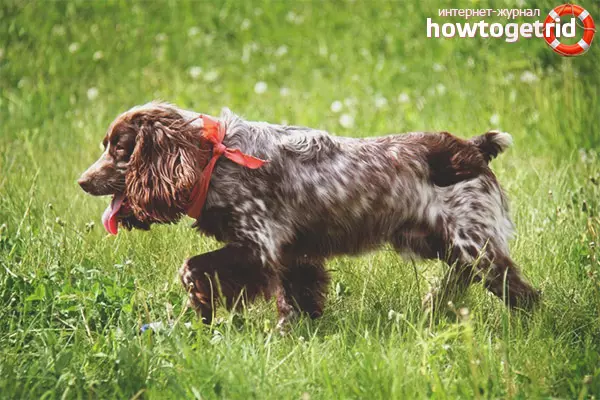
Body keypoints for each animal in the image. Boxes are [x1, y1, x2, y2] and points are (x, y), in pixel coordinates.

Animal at [77, 101, 540, 326]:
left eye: (120, 149)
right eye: (107, 145)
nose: (82, 181)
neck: (214, 159)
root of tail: (473, 149)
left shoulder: (259, 248)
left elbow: (192, 268)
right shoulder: (289, 255)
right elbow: (296, 299)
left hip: (474, 247)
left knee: (524, 294)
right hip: (445, 245)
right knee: (461, 283)